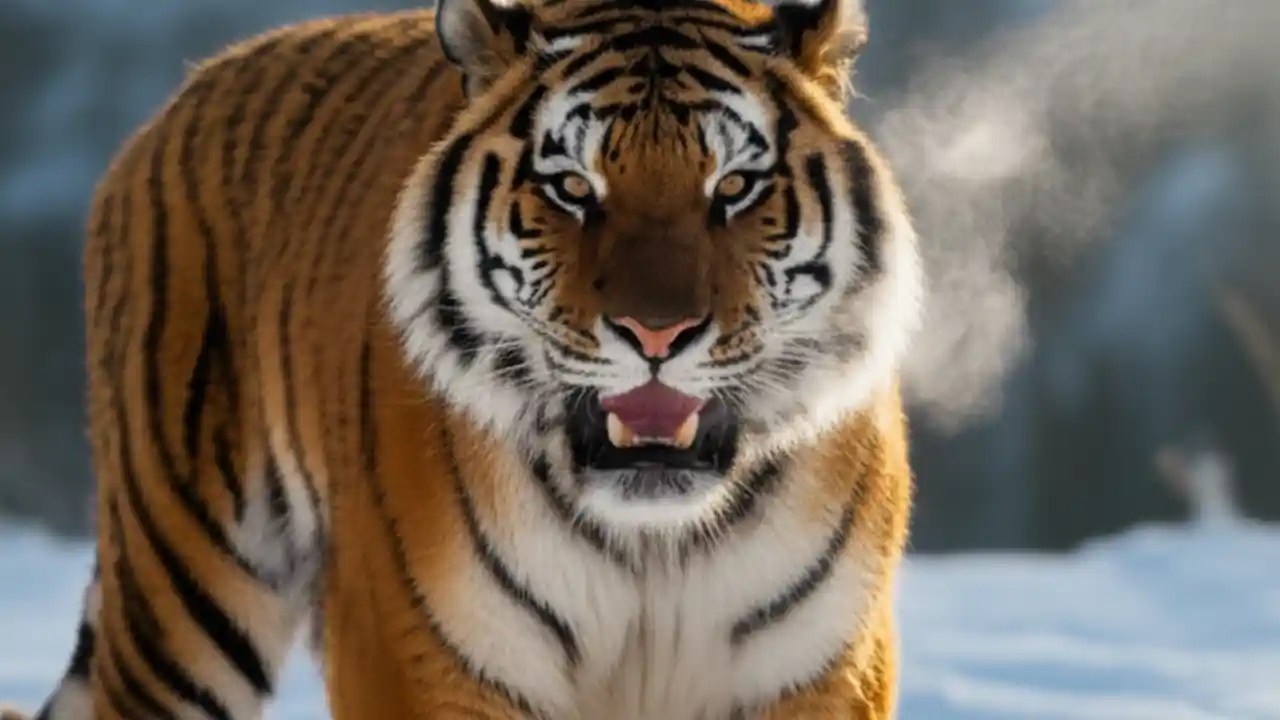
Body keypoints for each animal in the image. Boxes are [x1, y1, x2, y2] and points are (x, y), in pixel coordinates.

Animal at [5, 0, 922, 717]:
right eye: (572, 188)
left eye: (734, 187)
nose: (657, 333)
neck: (653, 543)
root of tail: (181, 97)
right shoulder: (420, 658)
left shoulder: (825, 667)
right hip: (183, 591)